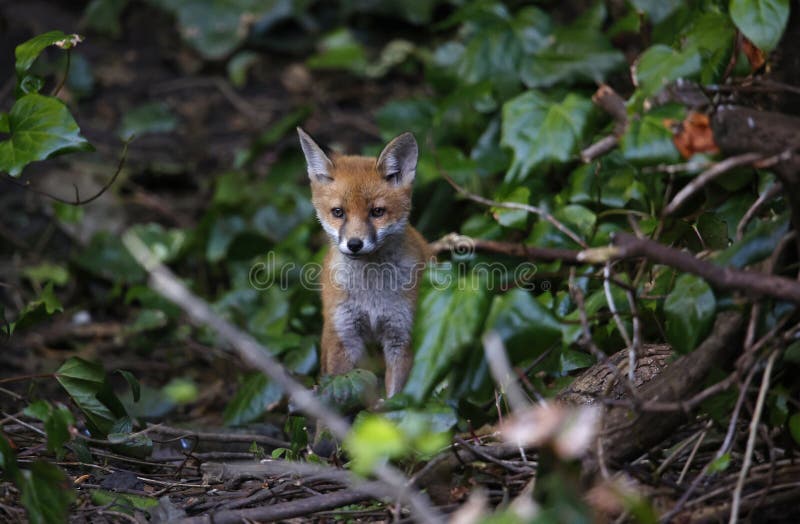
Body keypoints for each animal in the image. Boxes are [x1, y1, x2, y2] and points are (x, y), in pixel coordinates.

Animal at [297, 127, 432, 398]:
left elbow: (395, 396)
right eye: (338, 212)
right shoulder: (344, 335)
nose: (355, 244)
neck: (371, 295)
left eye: (377, 212)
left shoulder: (401, 335)